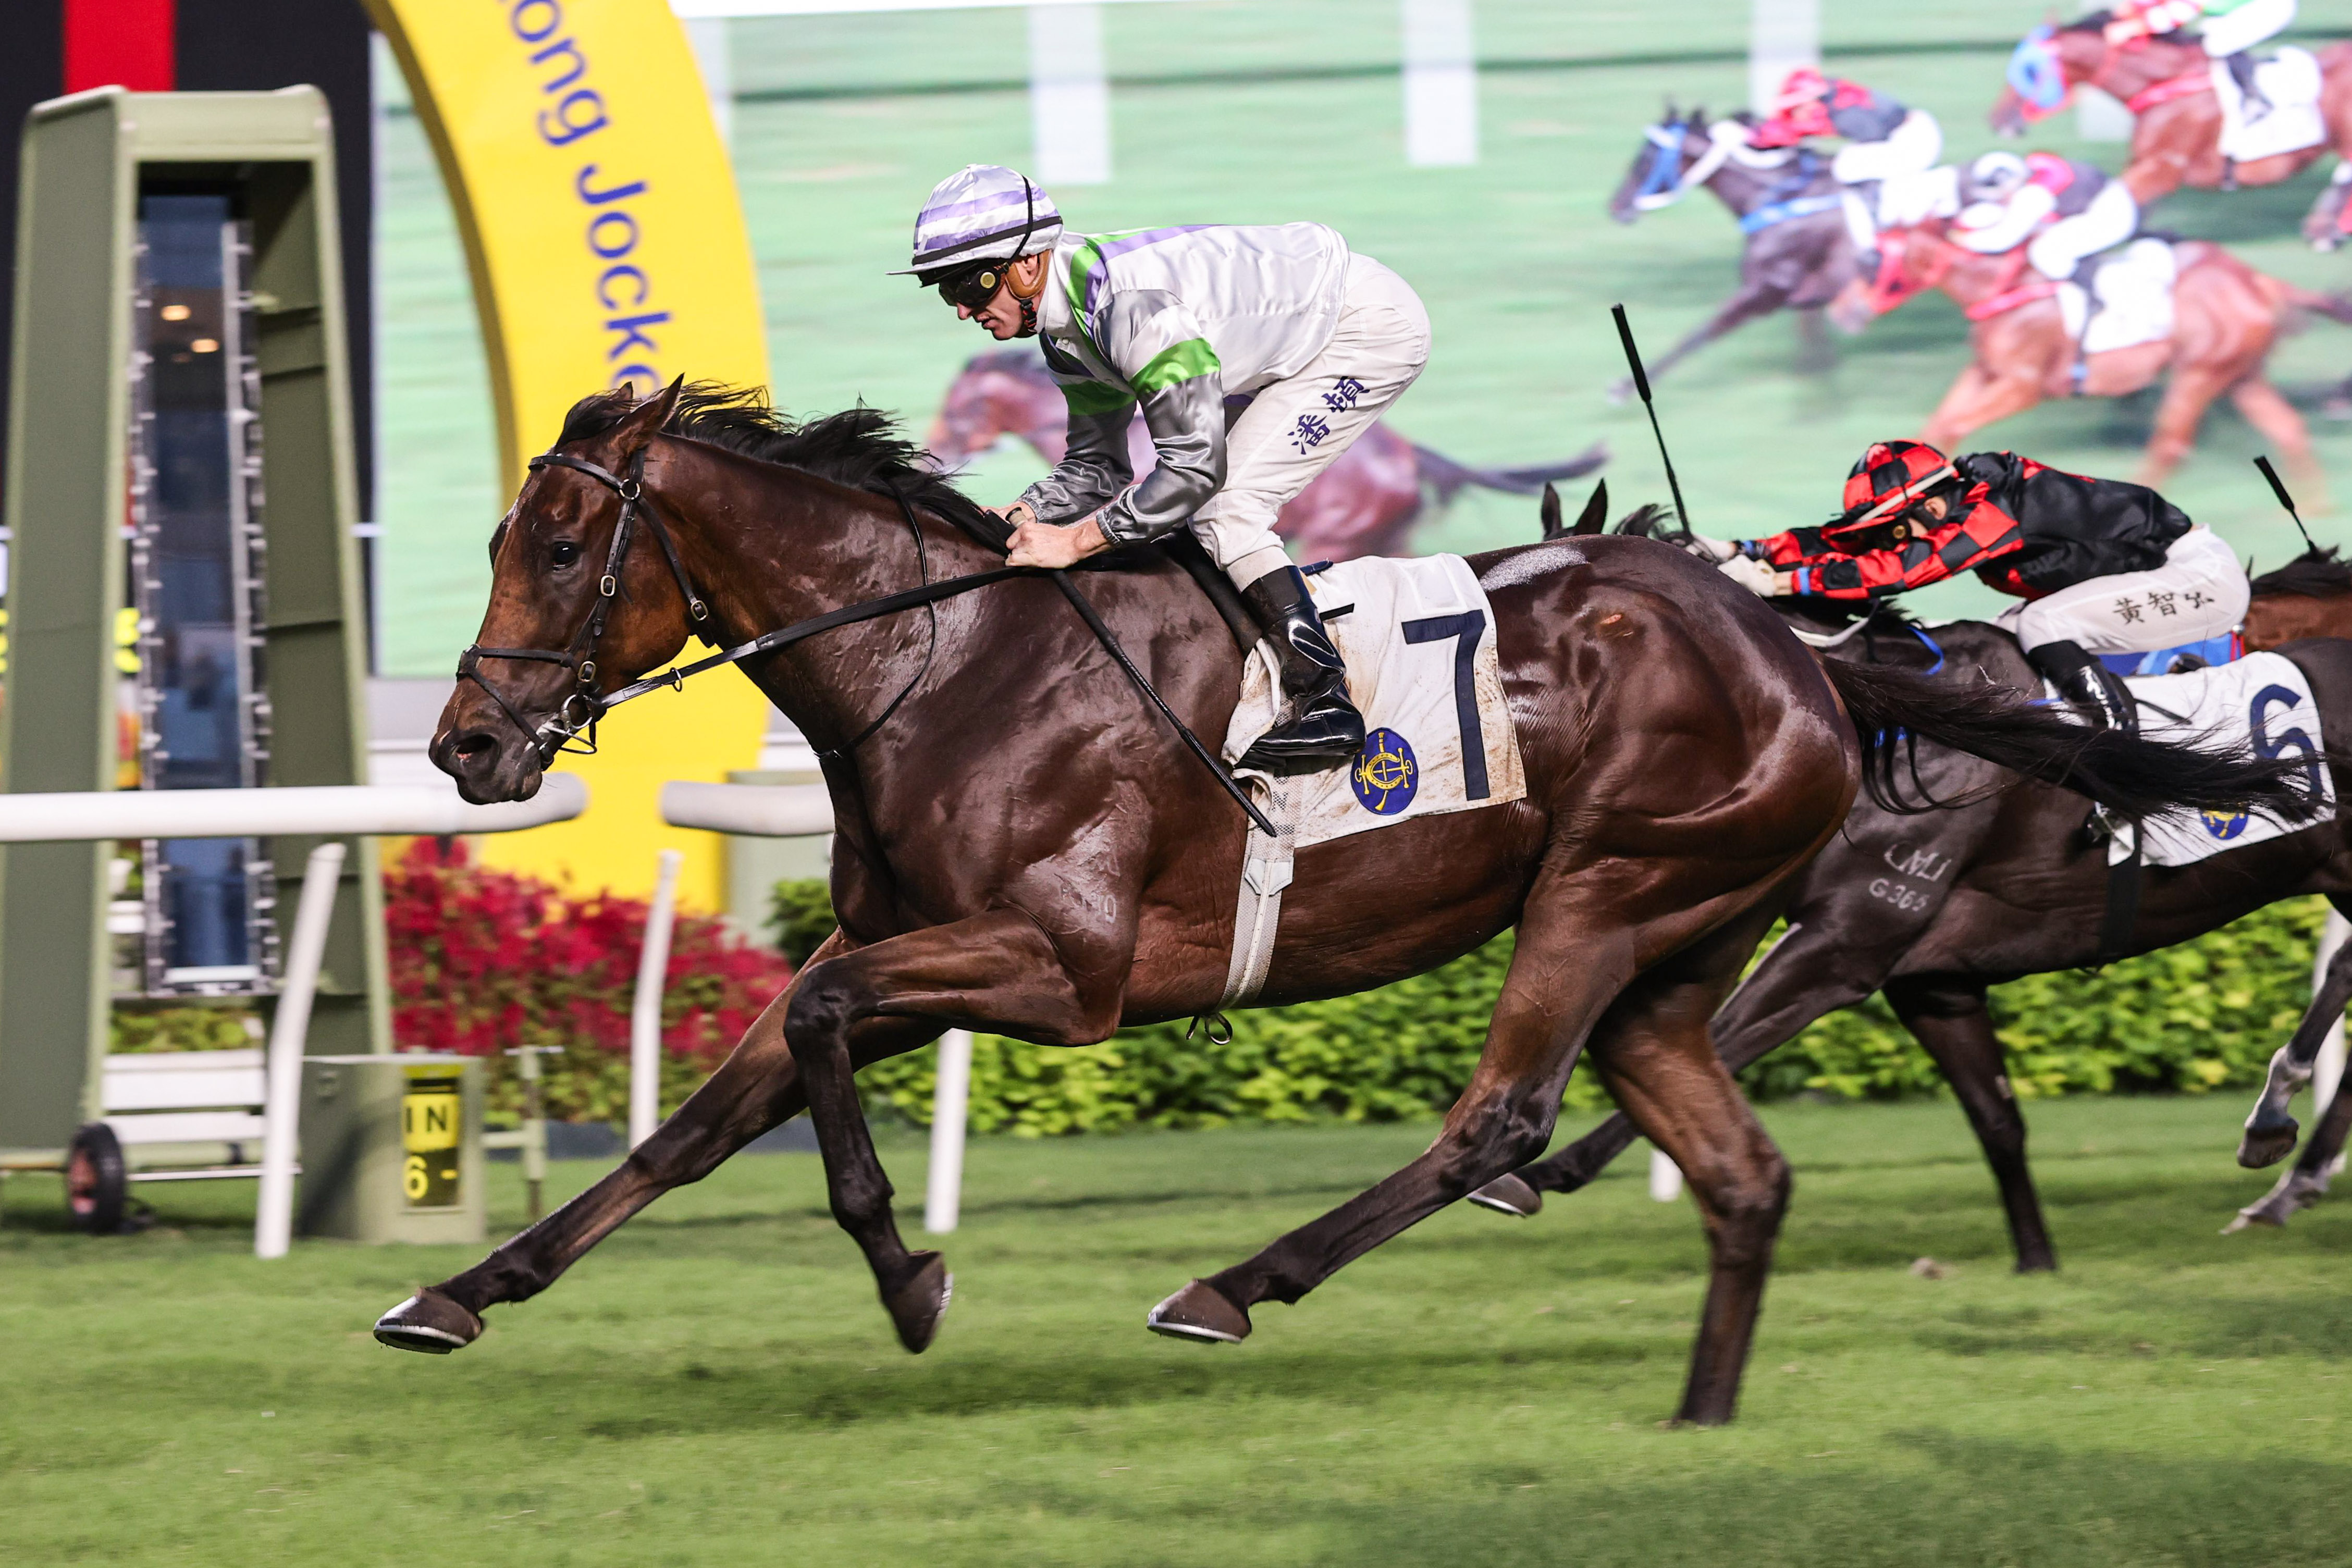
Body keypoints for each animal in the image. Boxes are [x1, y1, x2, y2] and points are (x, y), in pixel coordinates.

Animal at [1476, 531, 2352, 1271]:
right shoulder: (1931, 978)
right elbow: (1998, 1117)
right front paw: (2036, 1261)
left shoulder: (1846, 943)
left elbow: (1716, 1041)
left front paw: (1533, 1173)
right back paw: (2284, 1168)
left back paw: (2278, 1132)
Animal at [1603, 107, 1856, 399]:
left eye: (1645, 157)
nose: (1615, 206)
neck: (1782, 197)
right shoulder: (1804, 293)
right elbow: (1815, 345)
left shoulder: (1766, 290)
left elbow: (1701, 333)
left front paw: (1624, 388)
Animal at [1829, 221, 2352, 496]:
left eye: (1868, 261)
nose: (1840, 311)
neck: (2002, 288)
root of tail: (2256, 281)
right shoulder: (1985, 371)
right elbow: (1938, 426)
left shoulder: (2023, 385)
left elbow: (1955, 425)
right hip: (2242, 375)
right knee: (2288, 429)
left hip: (2198, 373)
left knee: (2169, 445)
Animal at [1989, 11, 2352, 242]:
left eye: (2030, 70)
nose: (1997, 120)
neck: (2163, 85)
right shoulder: (2144, 163)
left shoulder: (2163, 169)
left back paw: (2326, 228)